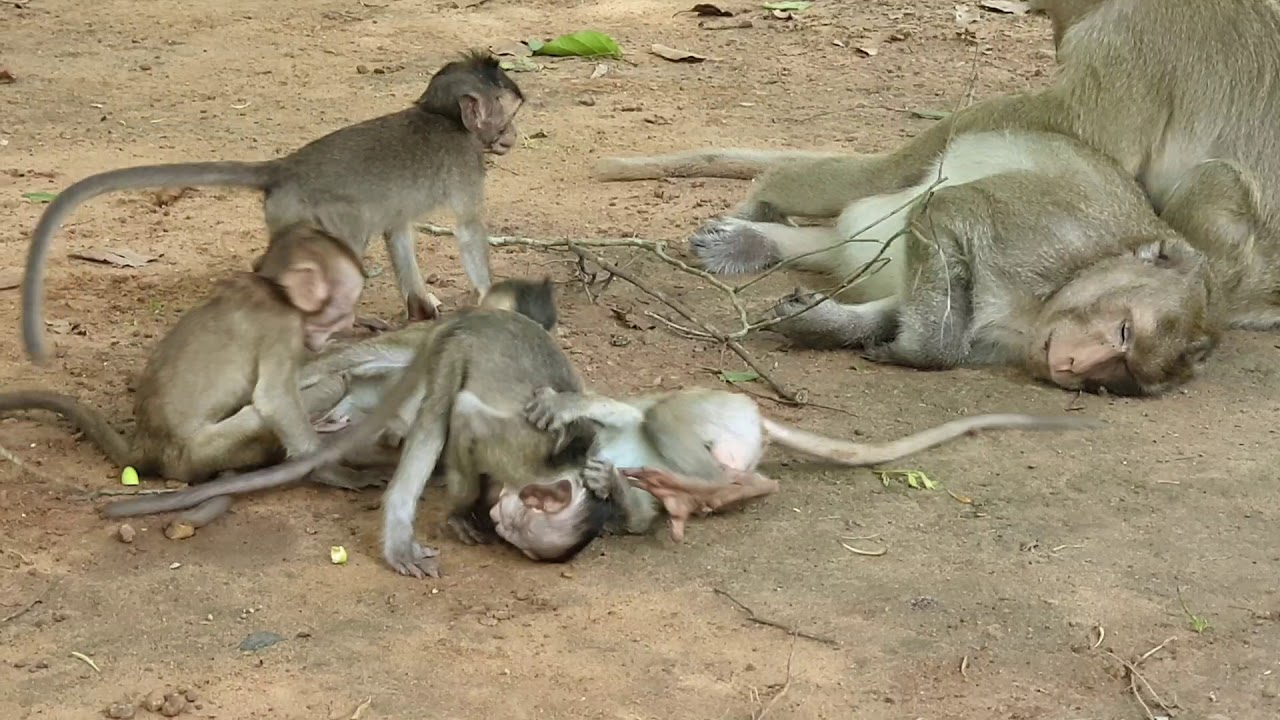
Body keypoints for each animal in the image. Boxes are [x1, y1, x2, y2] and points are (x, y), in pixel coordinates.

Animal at [0, 224, 370, 524]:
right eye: (343, 310)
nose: (351, 323)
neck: (274, 289)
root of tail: (145, 447)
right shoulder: (282, 326)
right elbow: (274, 399)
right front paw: (330, 469)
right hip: (199, 453)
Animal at [21, 49, 525, 362]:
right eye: (508, 117)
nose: (514, 137)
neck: (445, 118)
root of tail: (285, 169)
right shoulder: (466, 165)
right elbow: (467, 228)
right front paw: (491, 298)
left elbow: (398, 231)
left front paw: (421, 307)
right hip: (317, 214)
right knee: (348, 242)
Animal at [481, 385, 1101, 559]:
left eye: (513, 513)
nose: (493, 510)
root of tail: (756, 416)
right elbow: (632, 517)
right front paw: (613, 491)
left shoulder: (605, 439)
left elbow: (616, 417)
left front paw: (563, 409)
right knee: (751, 479)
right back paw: (726, 491)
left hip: (708, 410)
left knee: (657, 416)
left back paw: (704, 487)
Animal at [593, 0, 1280, 393]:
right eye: (1124, 331)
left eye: (1122, 373)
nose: (1076, 369)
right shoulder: (1049, 238)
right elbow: (953, 209)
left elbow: (912, 308)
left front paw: (842, 328)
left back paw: (763, 242)